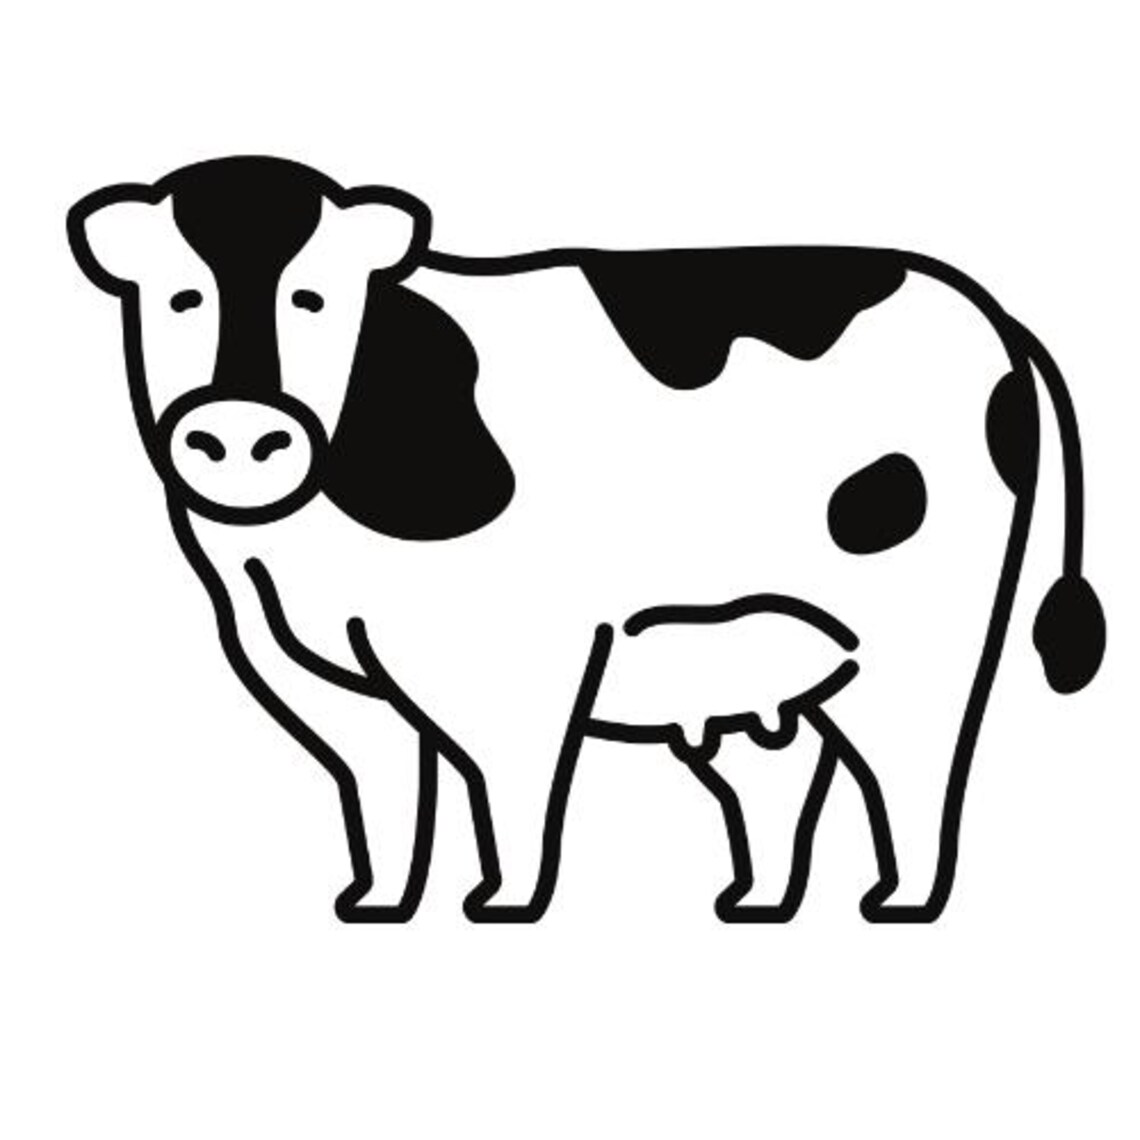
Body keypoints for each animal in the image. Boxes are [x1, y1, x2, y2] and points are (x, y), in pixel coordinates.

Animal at [68, 156, 1105, 924]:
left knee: (920, 754)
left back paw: (901, 901)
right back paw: (758, 902)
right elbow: (384, 784)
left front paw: (500, 904)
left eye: (314, 298)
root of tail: (992, 313)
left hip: (924, 623)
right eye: (179, 297)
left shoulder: (510, 651)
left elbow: (509, 777)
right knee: (788, 774)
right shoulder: (304, 665)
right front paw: (374, 902)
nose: (241, 427)